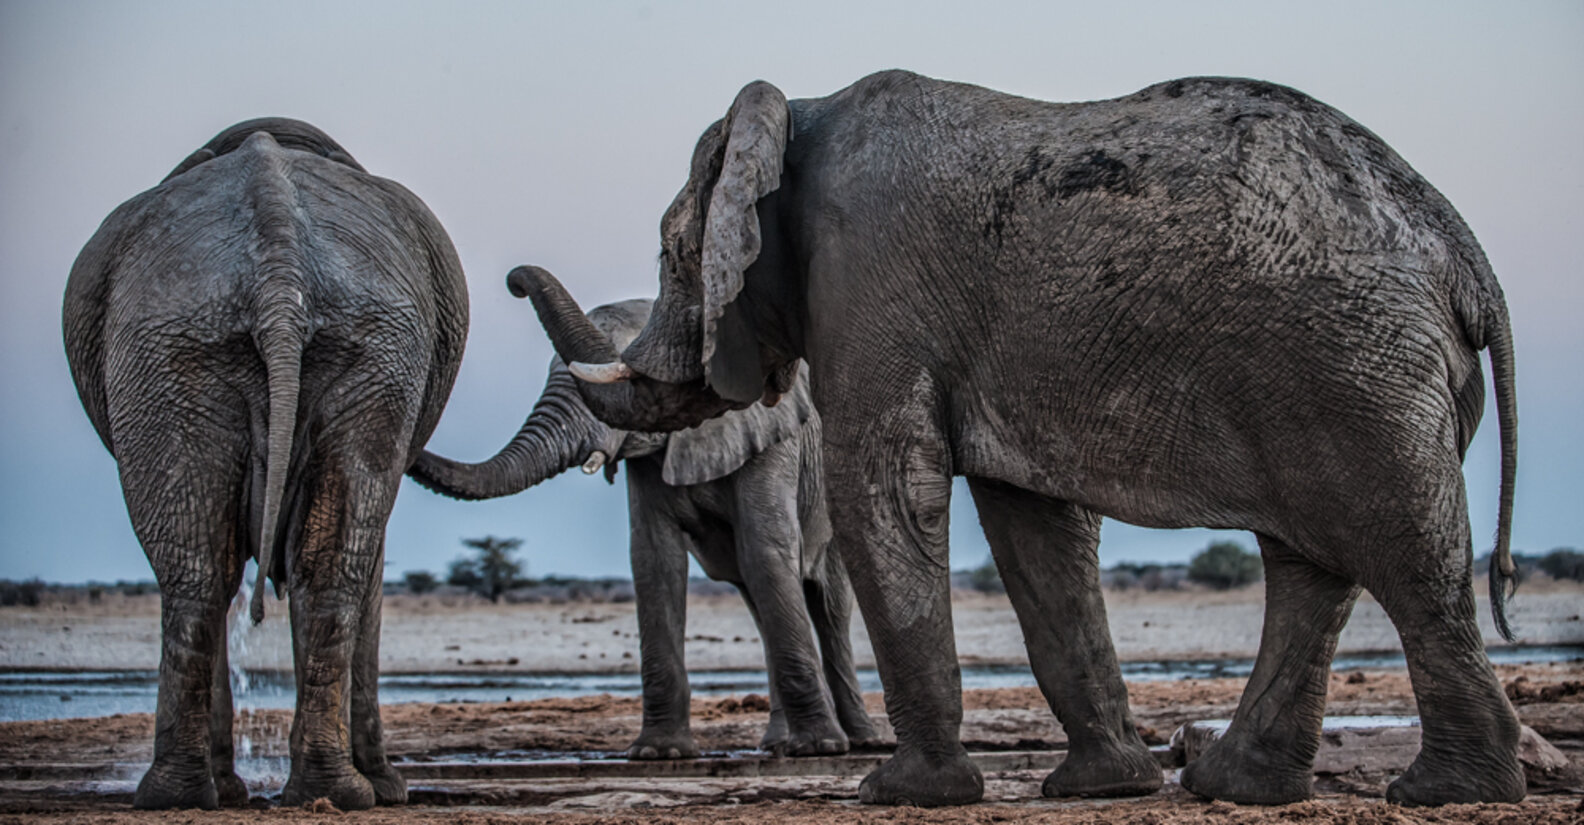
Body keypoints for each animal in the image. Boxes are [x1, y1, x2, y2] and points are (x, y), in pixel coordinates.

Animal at [63, 118, 468, 810]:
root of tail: (279, 278)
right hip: (207, 348)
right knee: (248, 572)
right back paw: (263, 793)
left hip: (210, 351)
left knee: (218, 572)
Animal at [407, 285, 879, 758]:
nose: (515, 285)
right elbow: (655, 559)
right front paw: (660, 752)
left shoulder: (772, 439)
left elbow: (765, 549)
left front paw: (818, 748)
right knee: (759, 600)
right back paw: (777, 744)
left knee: (829, 604)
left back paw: (861, 740)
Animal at [517, 71, 1523, 808]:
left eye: (670, 251)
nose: (511, 276)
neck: (797, 110)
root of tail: (1468, 257)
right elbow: (1035, 527)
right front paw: (1102, 787)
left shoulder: (869, 280)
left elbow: (885, 488)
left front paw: (902, 793)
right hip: (1345, 370)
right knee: (1313, 563)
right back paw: (1235, 786)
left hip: (1360, 366)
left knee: (1402, 550)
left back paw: (1445, 792)